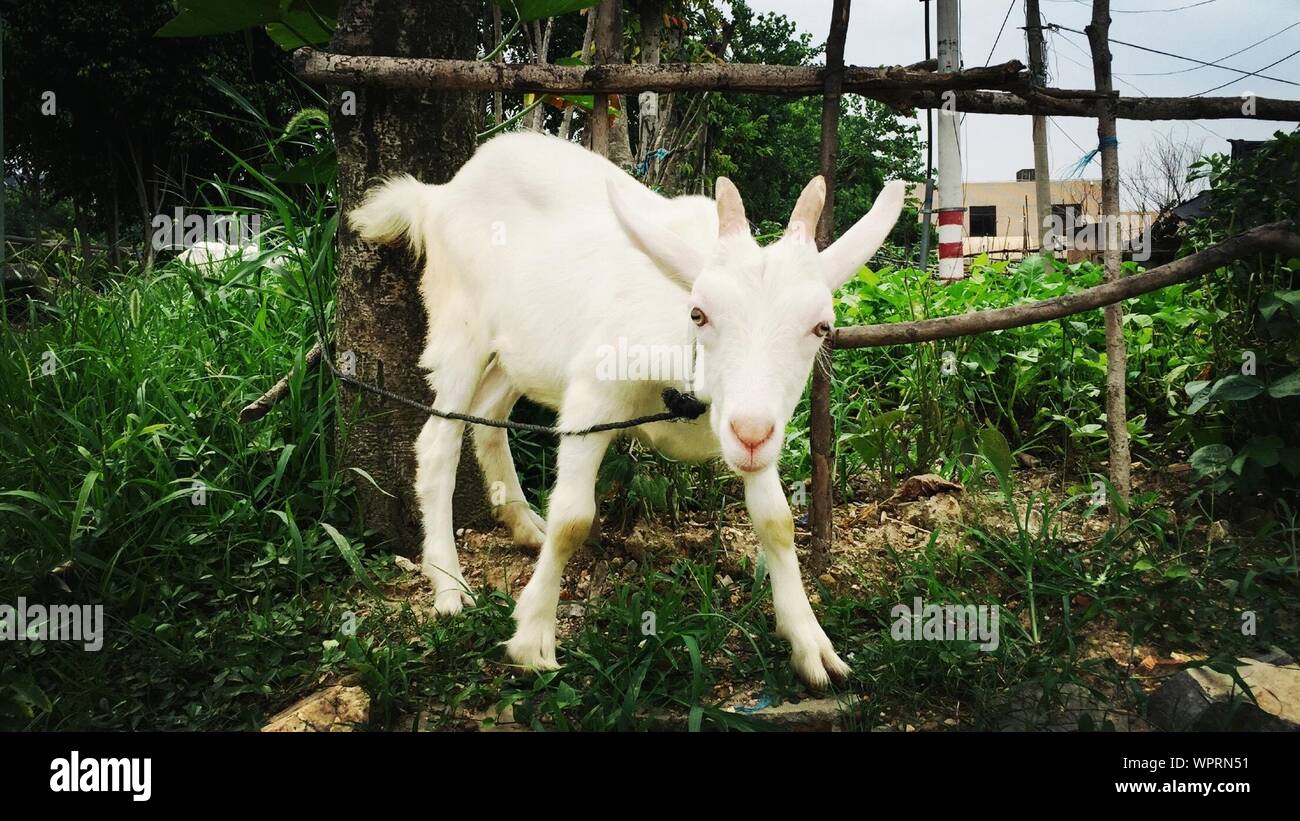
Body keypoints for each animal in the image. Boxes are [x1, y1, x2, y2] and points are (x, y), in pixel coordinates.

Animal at [350, 131, 905, 689]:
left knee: (489, 417)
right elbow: (572, 517)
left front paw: (812, 645)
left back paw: (525, 526)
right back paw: (449, 585)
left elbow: (777, 521)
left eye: (821, 326)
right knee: (439, 441)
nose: (750, 433)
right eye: (699, 314)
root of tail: (439, 195)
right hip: (460, 323)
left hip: (523, 349)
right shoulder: (594, 395)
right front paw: (532, 640)